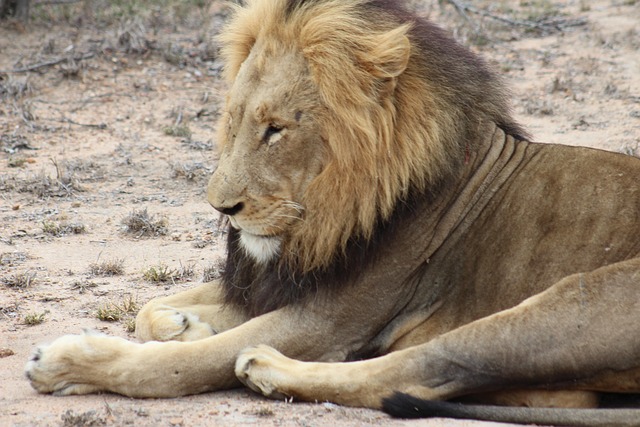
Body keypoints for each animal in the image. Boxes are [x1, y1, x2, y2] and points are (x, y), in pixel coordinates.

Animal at [25, 0, 640, 425]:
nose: (222, 207)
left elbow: (181, 364)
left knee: (420, 372)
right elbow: (152, 309)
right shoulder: (283, 280)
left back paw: (267, 369)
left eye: (276, 129)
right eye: (234, 121)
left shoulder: (329, 320)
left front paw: (66, 363)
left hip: (576, 300)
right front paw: (182, 324)